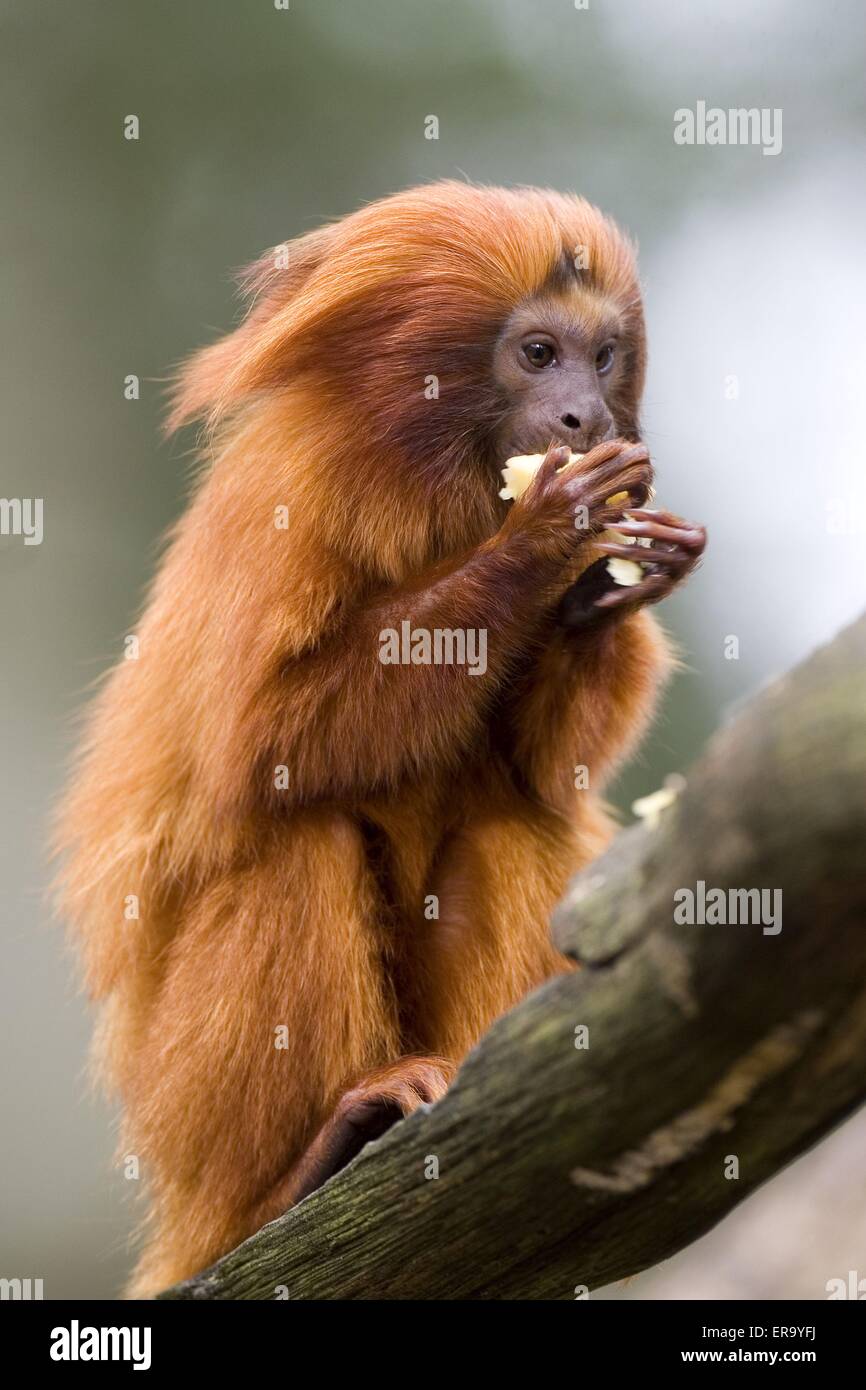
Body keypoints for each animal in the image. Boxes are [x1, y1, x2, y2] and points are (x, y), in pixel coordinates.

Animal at [55, 181, 706, 1296]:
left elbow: (540, 777)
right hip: (180, 1117)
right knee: (296, 839)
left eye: (602, 356)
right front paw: (543, 539)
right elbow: (263, 739)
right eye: (539, 354)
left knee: (508, 828)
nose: (583, 414)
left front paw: (599, 586)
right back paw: (310, 1161)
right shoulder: (286, 507)